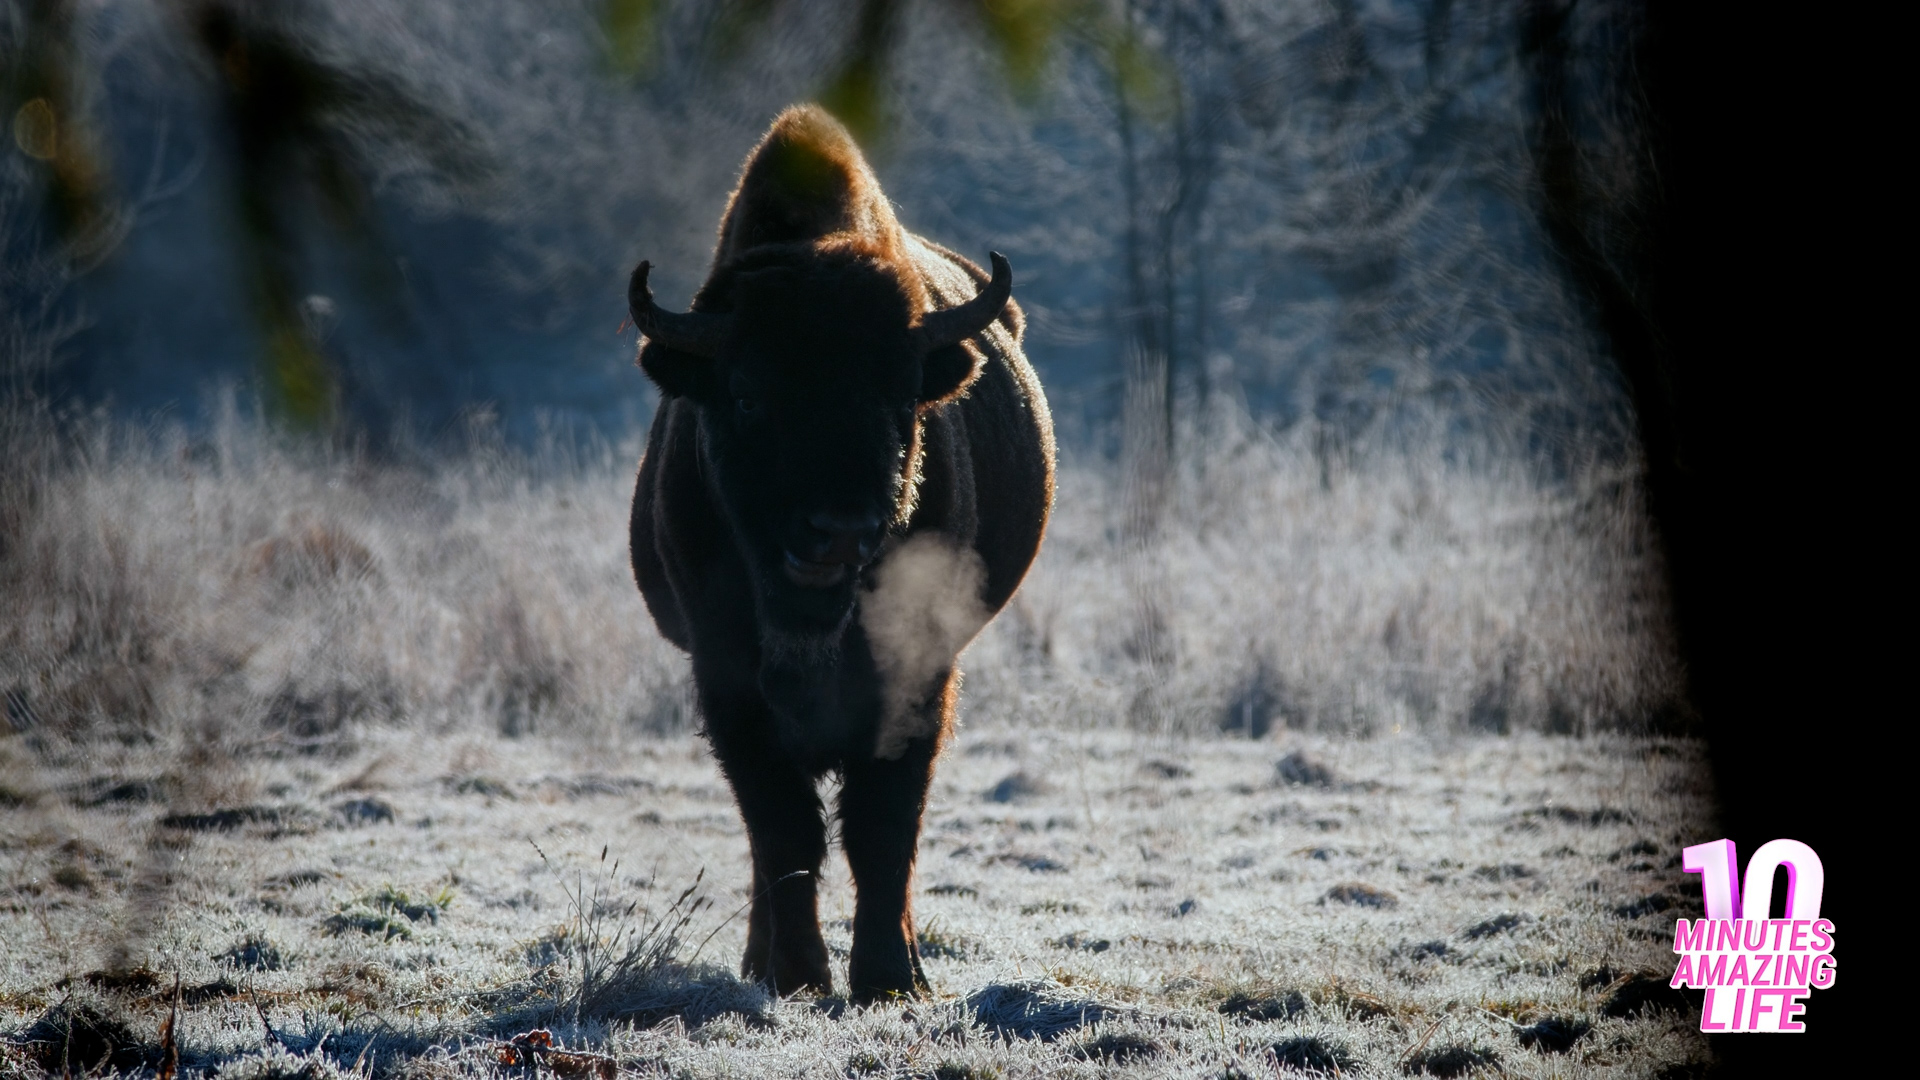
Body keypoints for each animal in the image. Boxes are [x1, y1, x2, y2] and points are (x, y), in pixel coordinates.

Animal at [626, 105, 1055, 1003]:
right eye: (747, 396)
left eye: (900, 395)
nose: (841, 530)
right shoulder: (727, 683)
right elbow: (784, 832)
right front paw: (797, 977)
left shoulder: (919, 677)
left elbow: (882, 828)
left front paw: (892, 979)